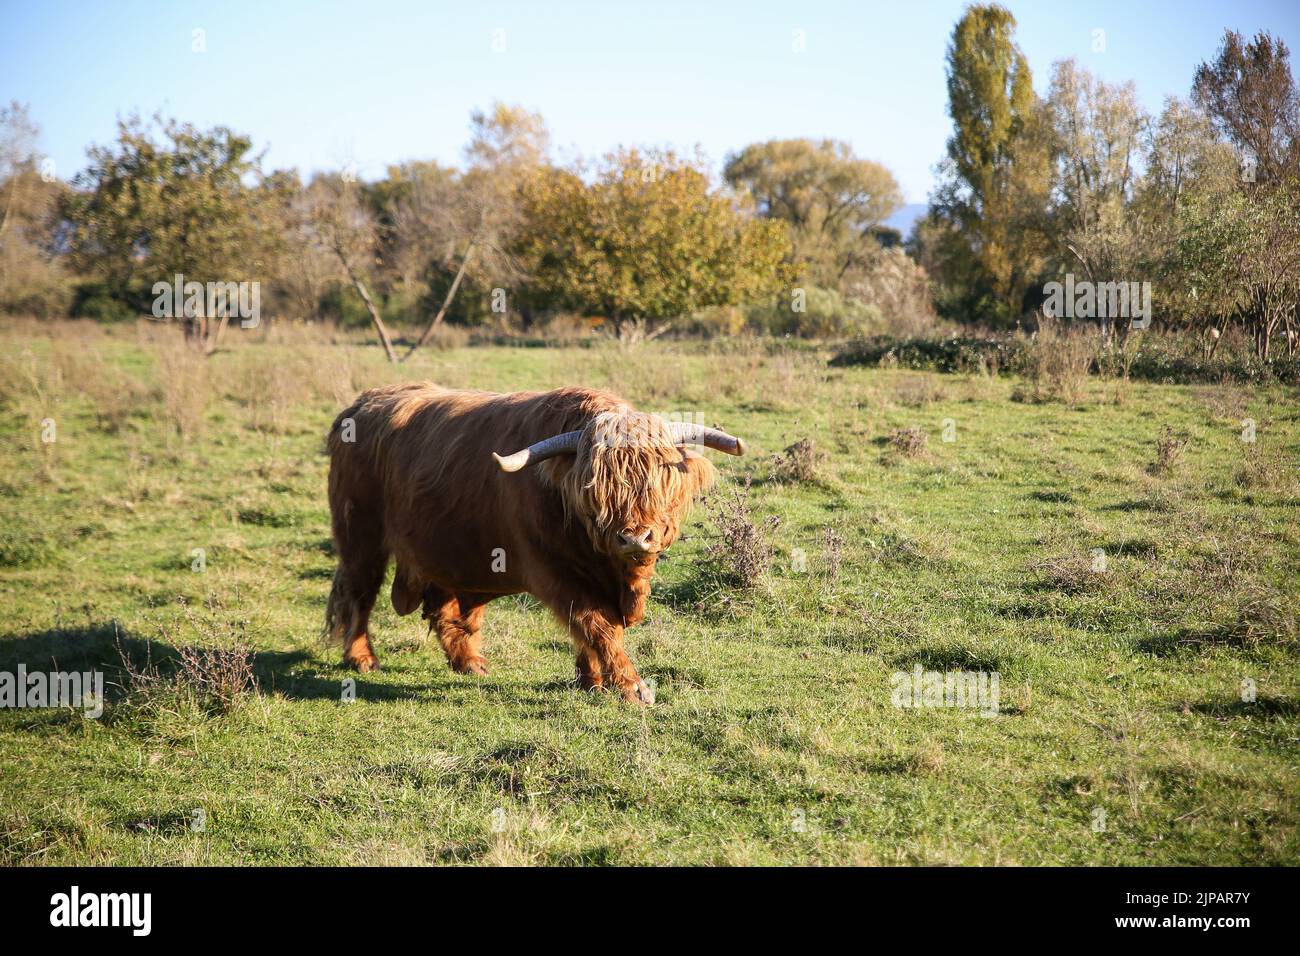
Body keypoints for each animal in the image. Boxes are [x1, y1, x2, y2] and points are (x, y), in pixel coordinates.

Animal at [325, 384, 747, 704]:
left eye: (660, 478)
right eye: (596, 489)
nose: (633, 538)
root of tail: (364, 402)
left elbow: (595, 629)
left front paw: (591, 682)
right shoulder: (551, 571)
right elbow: (597, 624)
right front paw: (631, 687)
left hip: (445, 550)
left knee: (442, 606)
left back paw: (470, 662)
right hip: (361, 536)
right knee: (359, 594)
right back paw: (362, 658)